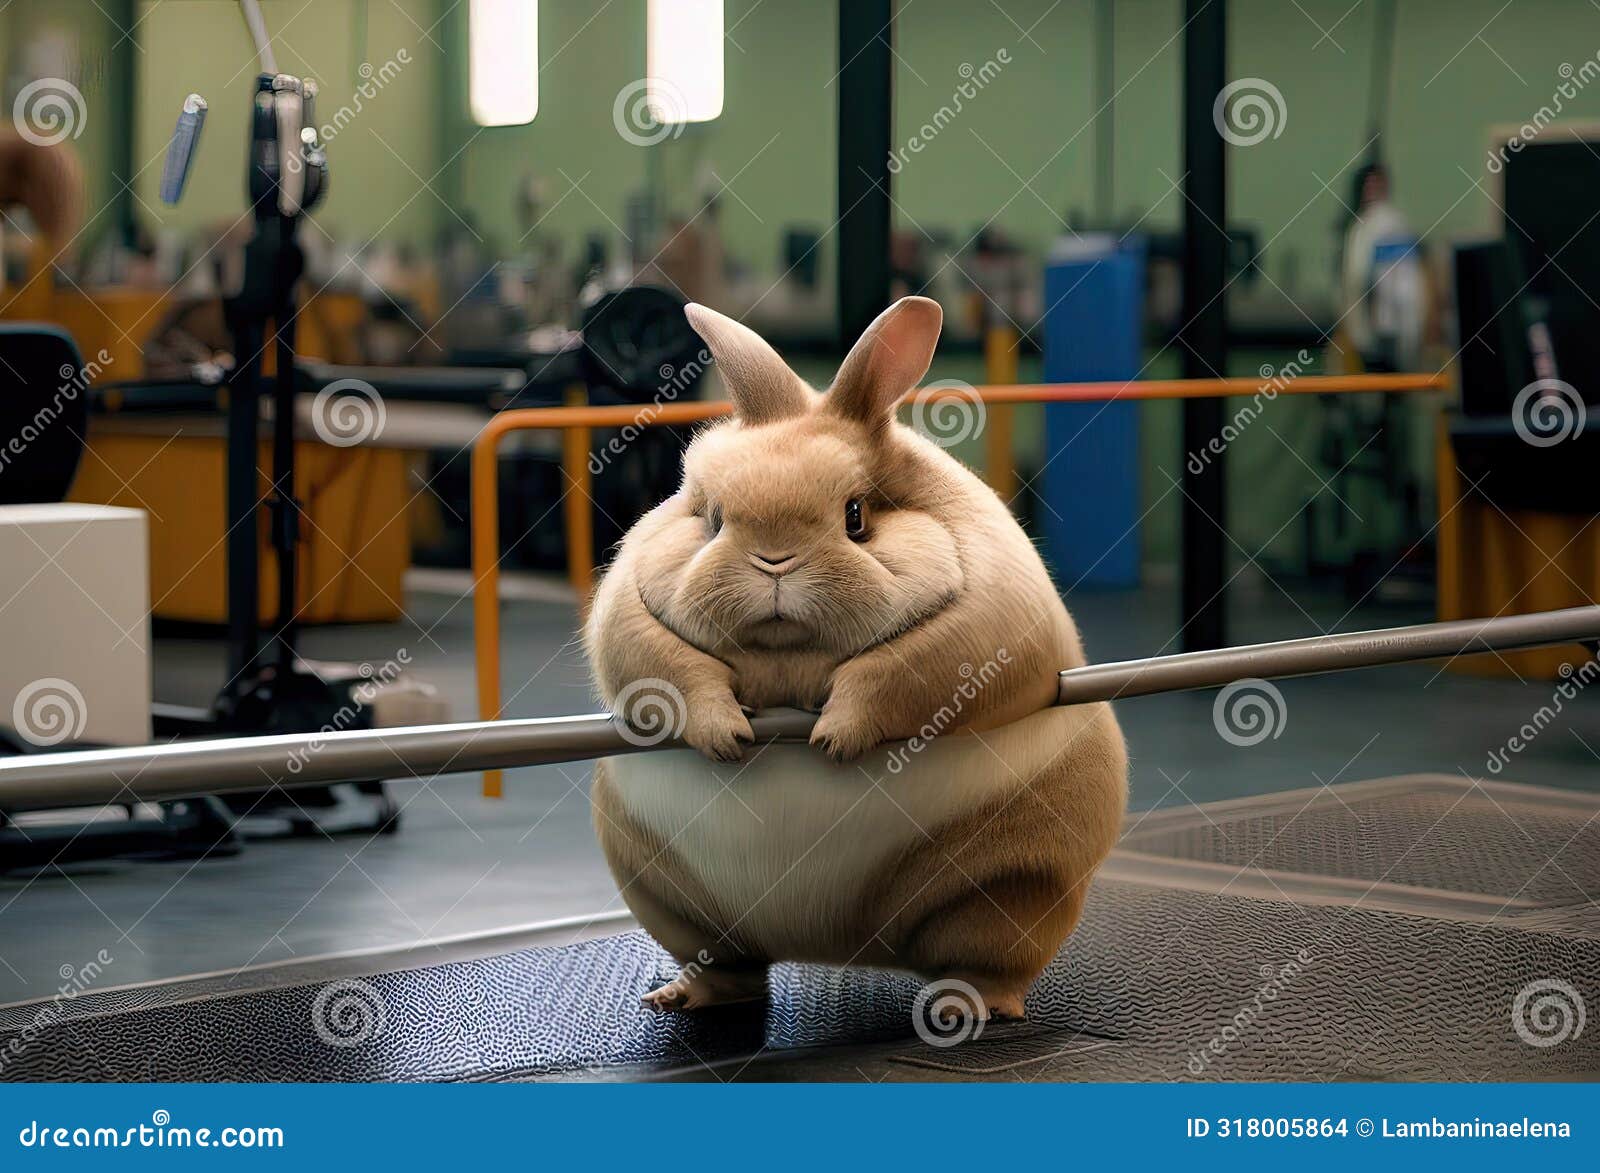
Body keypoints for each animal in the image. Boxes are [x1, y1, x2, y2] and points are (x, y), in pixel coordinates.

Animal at [585, 296, 1127, 1022]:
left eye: (856, 516)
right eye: (715, 520)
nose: (774, 560)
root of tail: (833, 943)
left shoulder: (988, 625)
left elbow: (893, 676)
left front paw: (833, 738)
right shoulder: (627, 619)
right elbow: (670, 669)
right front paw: (726, 735)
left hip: (1018, 892)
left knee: (992, 962)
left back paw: (966, 1004)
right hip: (665, 899)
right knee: (730, 966)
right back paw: (684, 995)